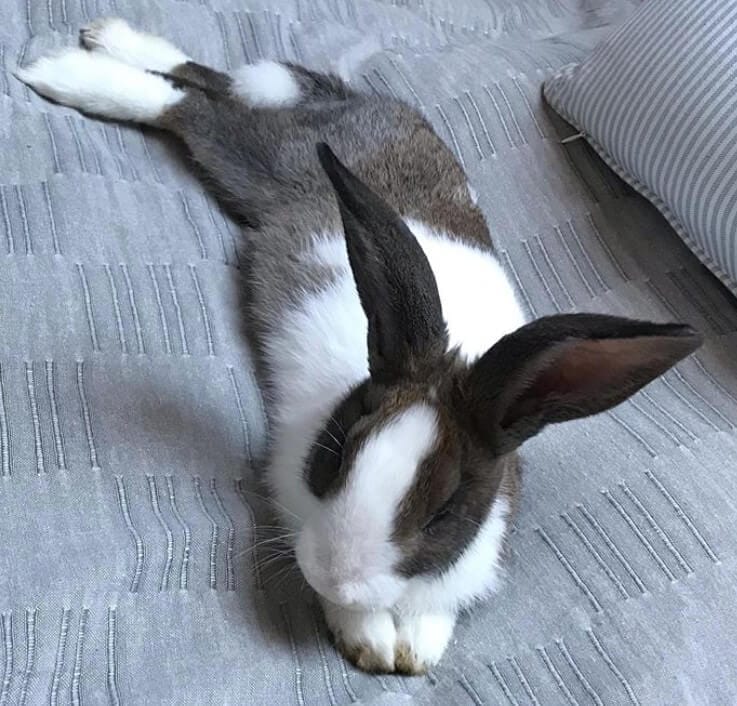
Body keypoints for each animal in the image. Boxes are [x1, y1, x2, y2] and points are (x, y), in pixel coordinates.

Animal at [17, 18, 703, 675]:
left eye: (444, 512)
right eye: (337, 452)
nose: (338, 578)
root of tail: (352, 105)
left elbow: (437, 601)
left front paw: (416, 648)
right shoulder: (292, 490)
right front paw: (366, 635)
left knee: (217, 85)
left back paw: (106, 44)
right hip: (261, 161)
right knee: (192, 106)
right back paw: (71, 66)